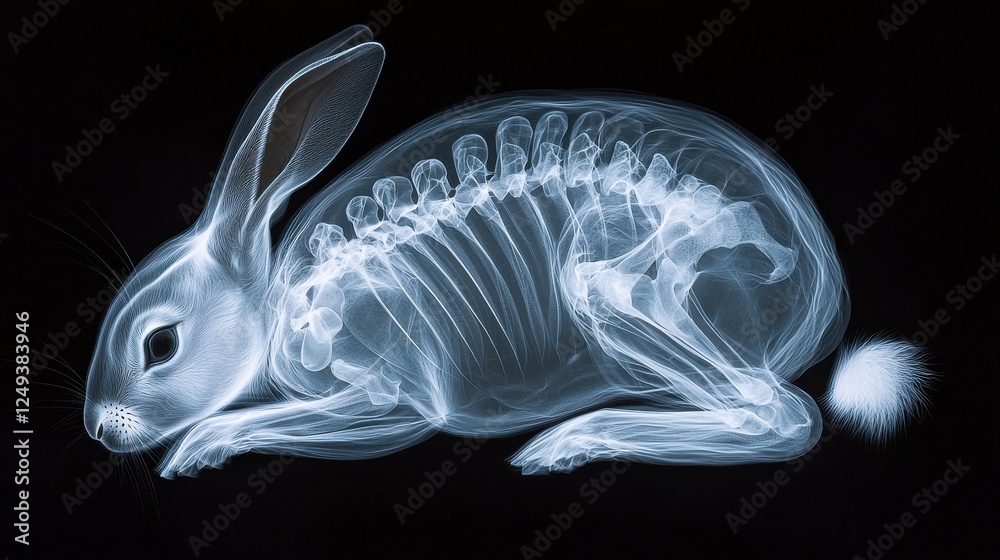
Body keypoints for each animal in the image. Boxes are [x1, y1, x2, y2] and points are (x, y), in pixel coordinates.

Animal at [83, 25, 929, 478]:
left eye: (160, 345)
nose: (99, 430)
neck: (279, 309)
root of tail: (807, 270)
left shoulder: (394, 395)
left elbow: (313, 417)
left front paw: (200, 445)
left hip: (622, 281)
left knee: (782, 416)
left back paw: (568, 442)